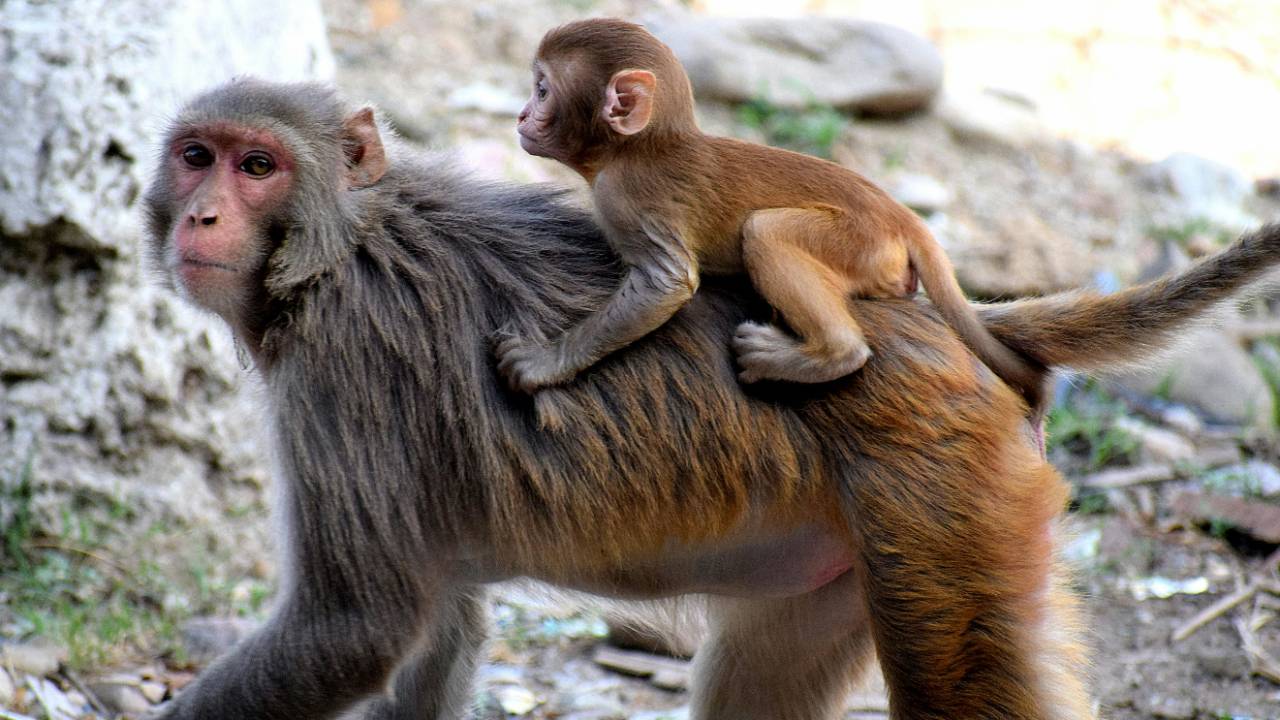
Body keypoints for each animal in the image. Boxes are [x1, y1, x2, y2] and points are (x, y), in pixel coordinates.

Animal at [144, 77, 1280, 720]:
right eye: (197, 156)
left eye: (258, 166)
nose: (201, 215)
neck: (336, 250)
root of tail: (933, 325)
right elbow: (438, 627)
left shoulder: (344, 374)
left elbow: (359, 626)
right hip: (866, 551)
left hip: (947, 503)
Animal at [496, 18, 1045, 411]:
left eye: (542, 90)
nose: (521, 115)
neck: (636, 149)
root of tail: (900, 217)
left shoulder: (627, 195)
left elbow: (666, 284)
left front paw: (545, 362)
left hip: (859, 242)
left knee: (767, 230)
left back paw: (827, 355)